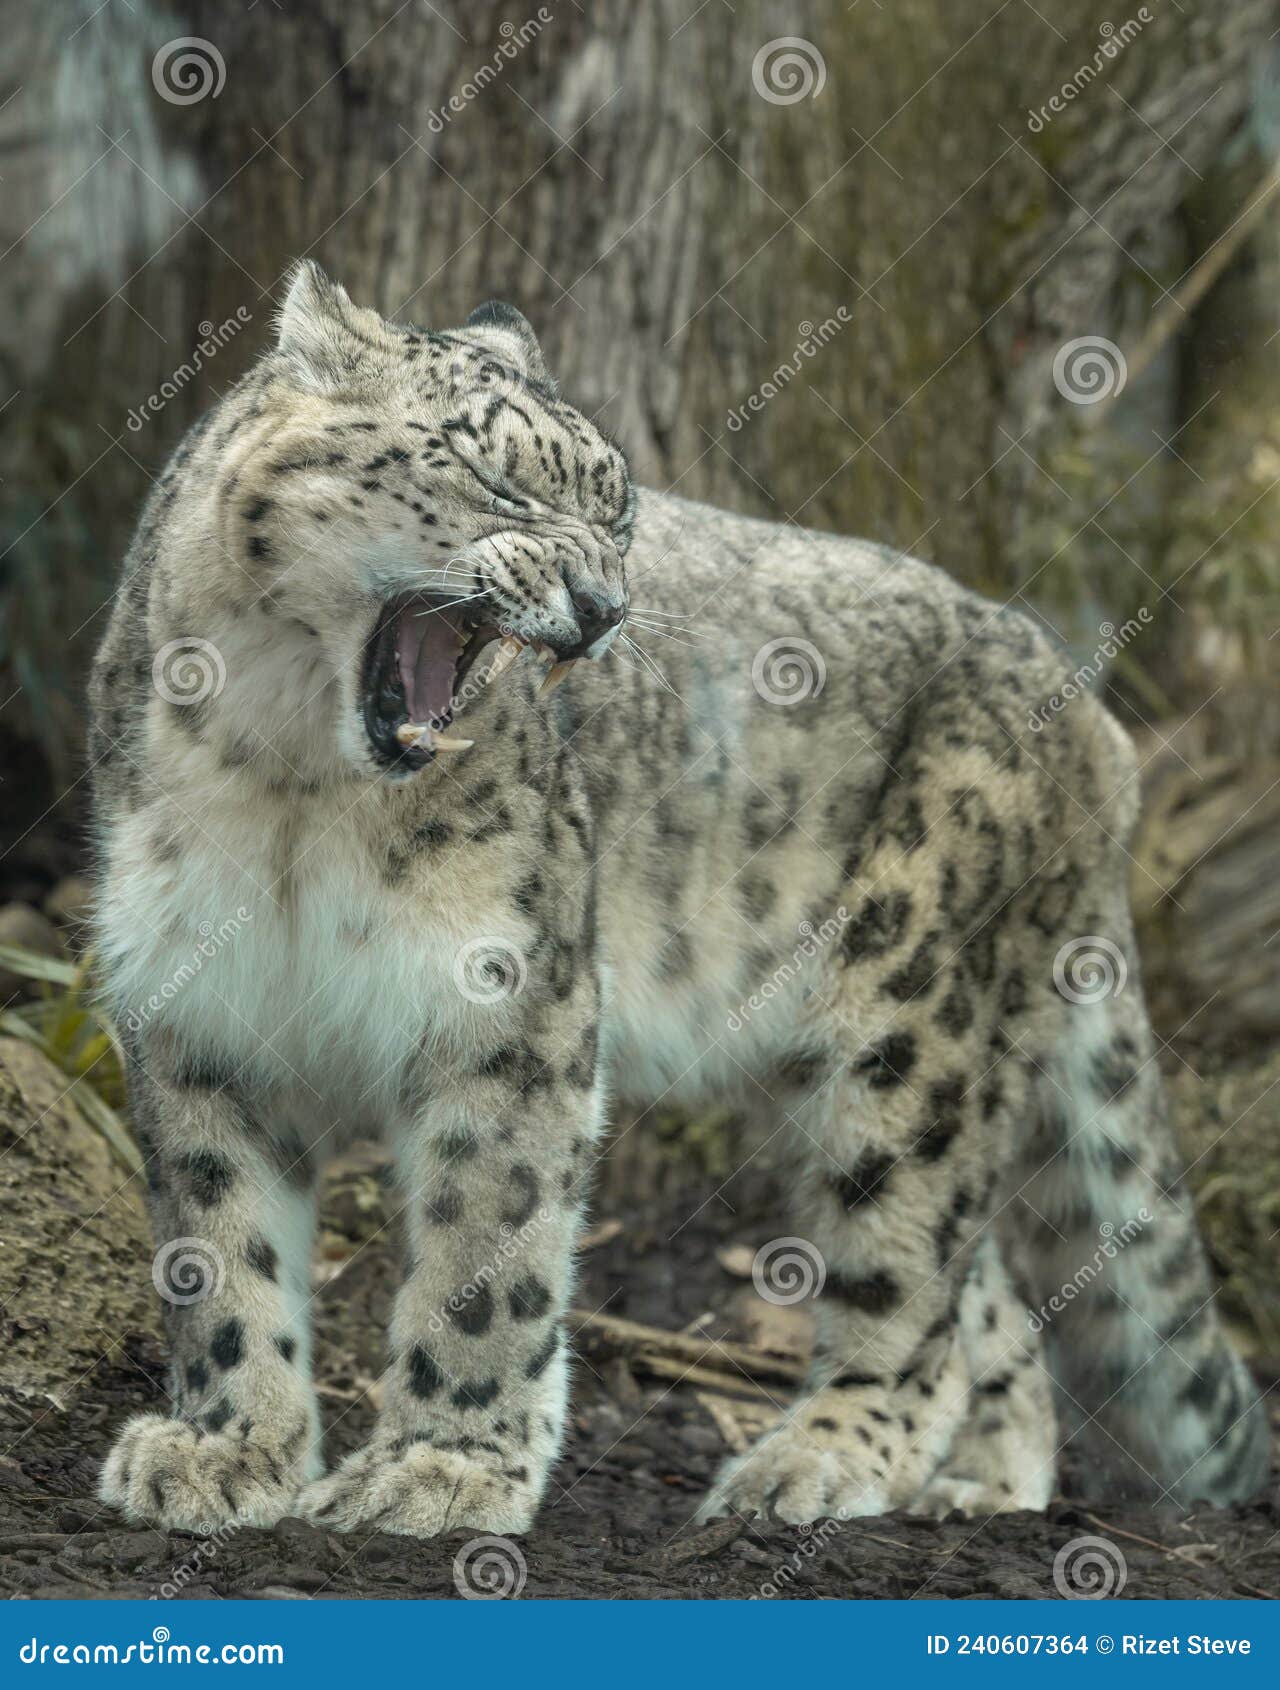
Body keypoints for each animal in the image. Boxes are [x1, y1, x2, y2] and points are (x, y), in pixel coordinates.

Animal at [88, 261, 1268, 1540]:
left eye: (619, 518)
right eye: (498, 477)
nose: (603, 604)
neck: (291, 779)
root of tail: (1090, 713)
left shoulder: (515, 999)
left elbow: (485, 1247)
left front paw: (443, 1464)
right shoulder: (195, 1005)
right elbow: (219, 1244)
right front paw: (225, 1445)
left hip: (910, 1021)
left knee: (912, 1268)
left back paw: (817, 1458)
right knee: (984, 1290)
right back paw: (977, 1482)